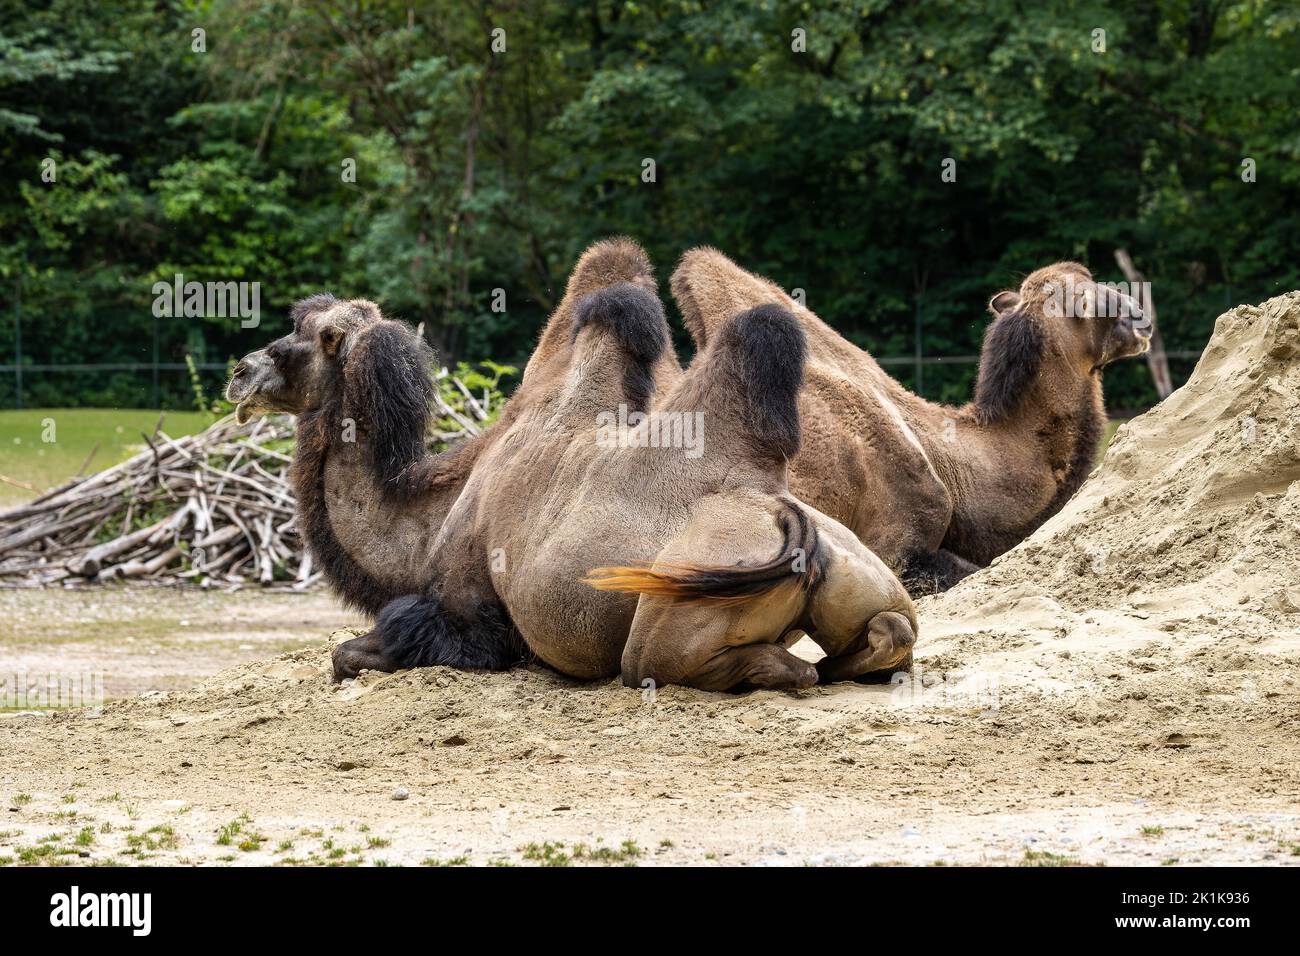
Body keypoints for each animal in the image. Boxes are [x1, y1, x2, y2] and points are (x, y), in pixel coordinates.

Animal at [229, 241, 916, 691]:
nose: (240, 371)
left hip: (670, 613)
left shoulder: (466, 608)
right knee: (890, 631)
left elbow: (356, 650)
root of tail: (785, 520)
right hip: (871, 580)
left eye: (300, 341)